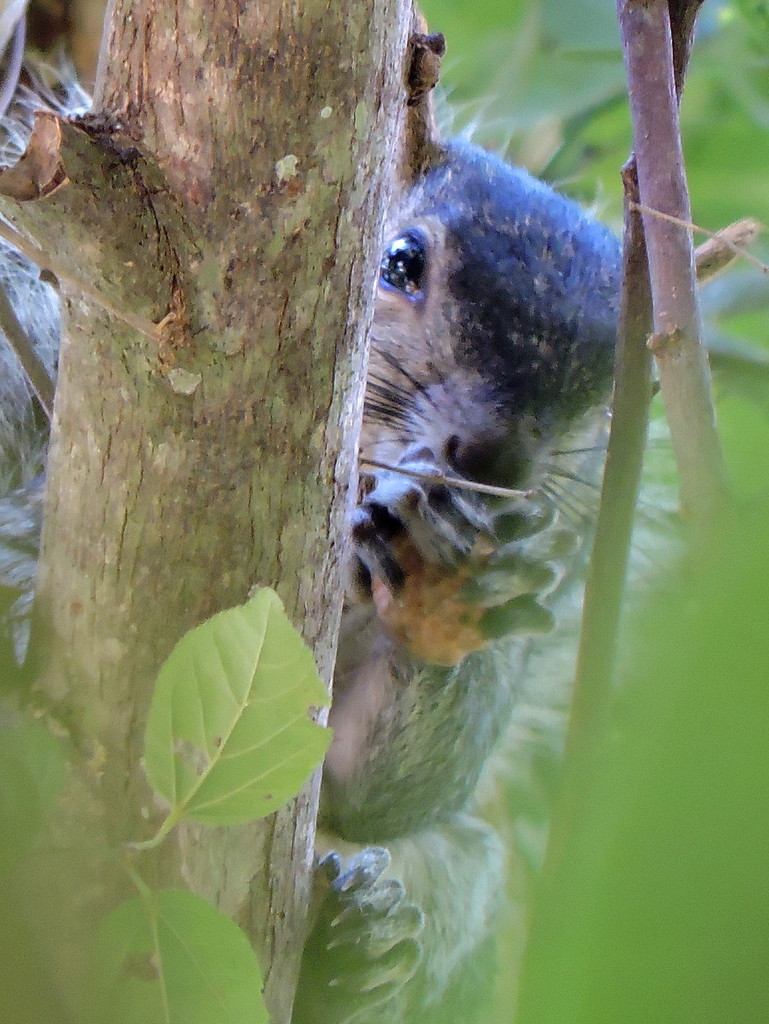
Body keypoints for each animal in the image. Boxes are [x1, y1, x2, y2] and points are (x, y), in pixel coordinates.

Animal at [0, 41, 621, 1024]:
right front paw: (20, 582)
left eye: (616, 380)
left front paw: (465, 589)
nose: (494, 454)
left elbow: (386, 795)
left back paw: (355, 950)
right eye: (398, 263)